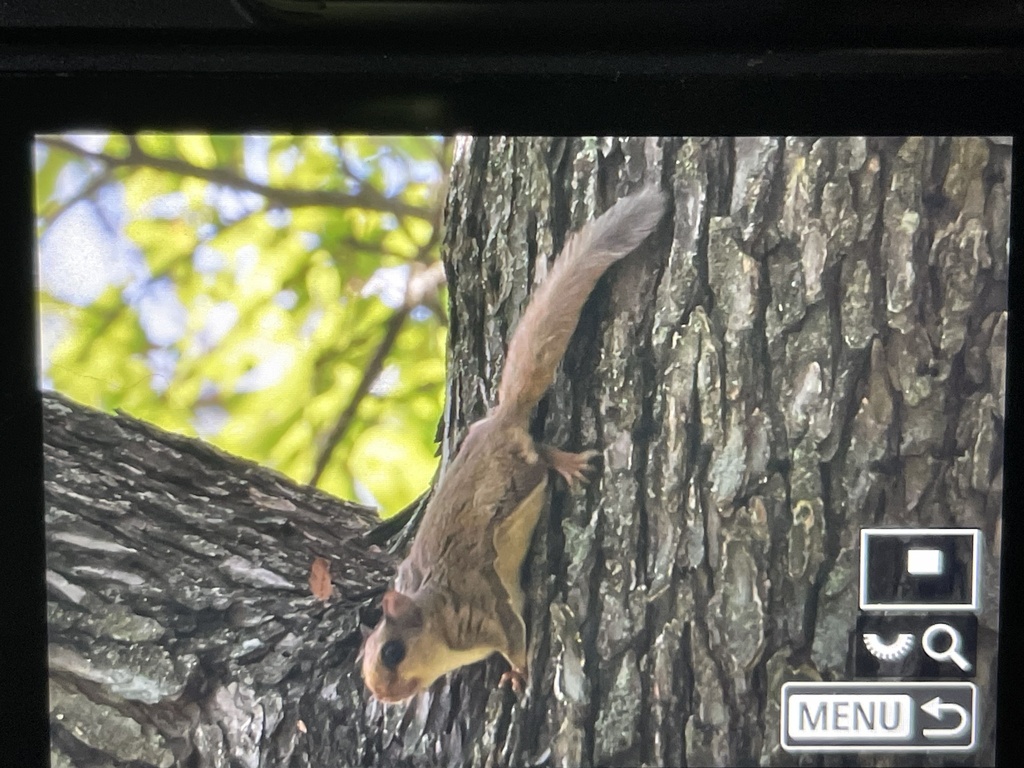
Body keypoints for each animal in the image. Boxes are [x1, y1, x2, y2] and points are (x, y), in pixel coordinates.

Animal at [360, 185, 669, 703]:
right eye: (366, 661)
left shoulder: (483, 612)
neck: (436, 616)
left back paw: (566, 463)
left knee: (540, 454)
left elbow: (514, 636)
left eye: (392, 652)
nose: (383, 696)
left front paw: (519, 674)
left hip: (523, 470)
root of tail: (500, 420)